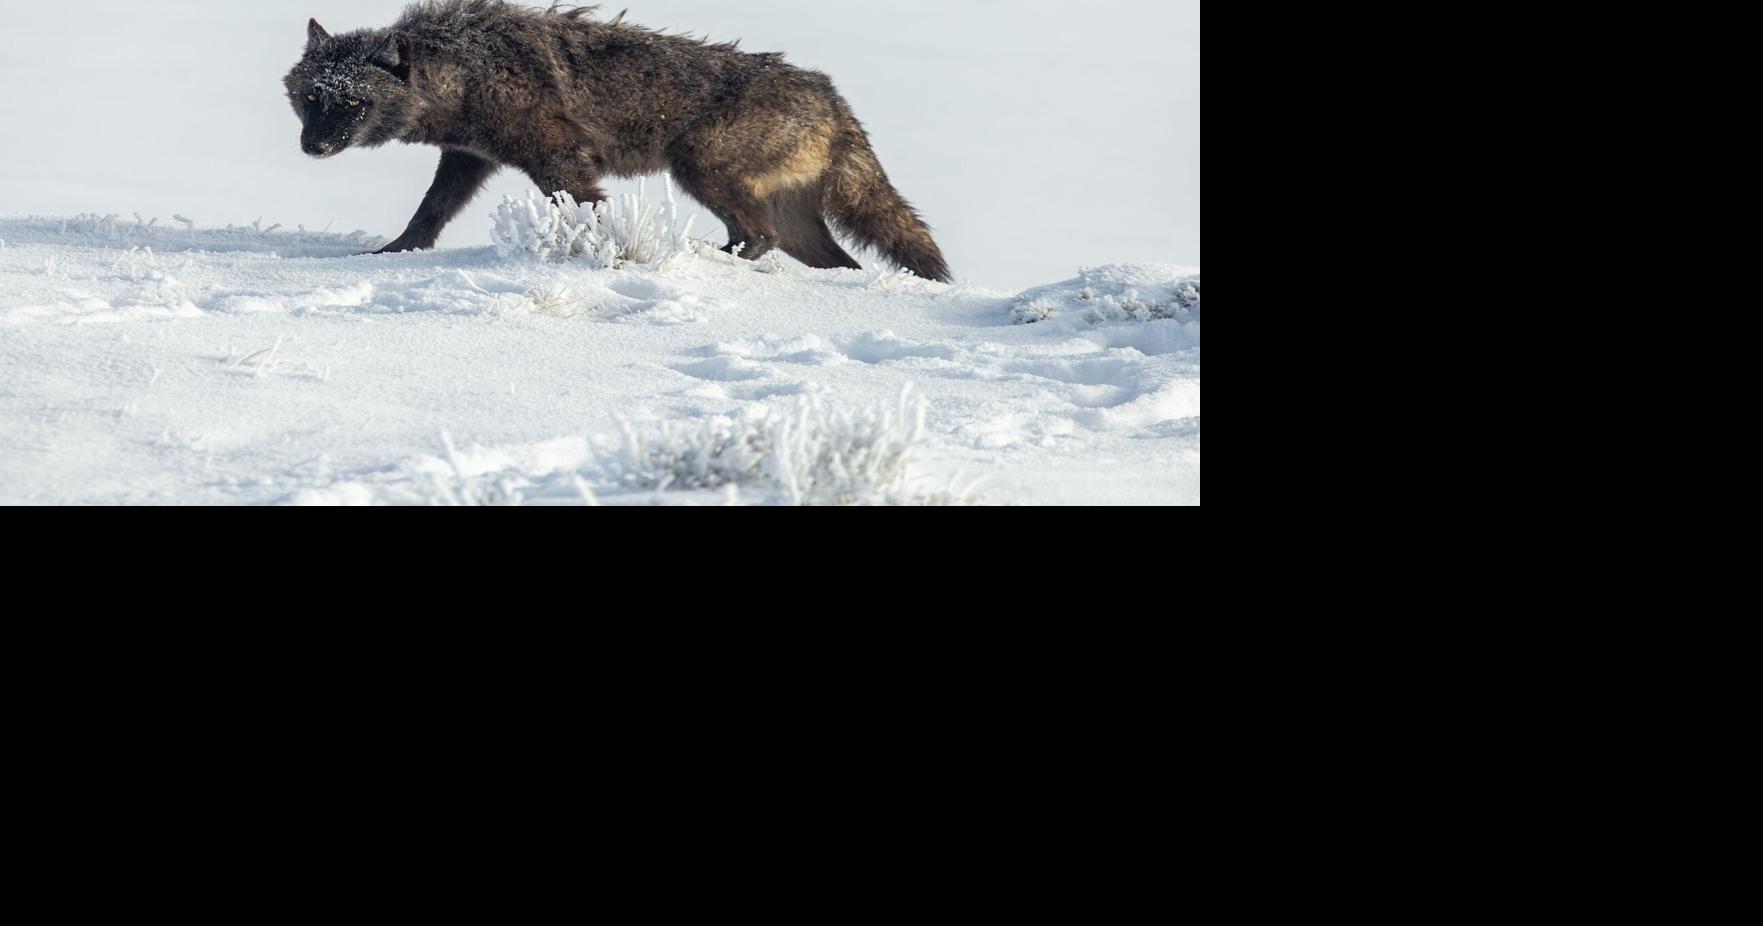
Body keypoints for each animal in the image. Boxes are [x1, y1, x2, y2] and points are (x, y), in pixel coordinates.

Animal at [284, 0, 951, 281]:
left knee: (755, 238)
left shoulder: (558, 161)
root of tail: (834, 100)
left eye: (355, 103)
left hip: (698, 168)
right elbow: (428, 214)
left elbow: (588, 214)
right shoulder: (468, 160)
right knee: (836, 261)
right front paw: (392, 254)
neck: (467, 71)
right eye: (312, 98)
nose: (313, 148)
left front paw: (613, 257)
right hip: (796, 225)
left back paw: (700, 256)